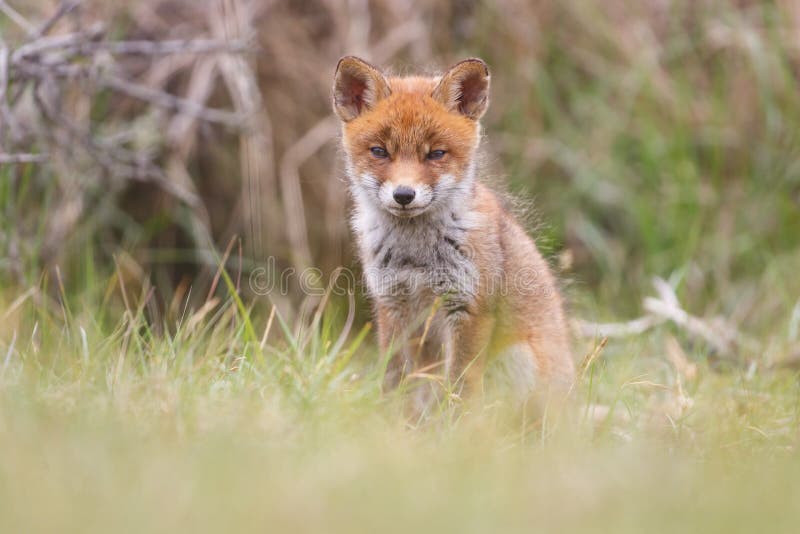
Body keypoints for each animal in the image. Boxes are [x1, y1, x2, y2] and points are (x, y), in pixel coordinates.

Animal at [332, 56, 574, 404]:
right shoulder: (392, 303)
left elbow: (461, 384)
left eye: (436, 153)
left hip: (516, 358)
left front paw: (459, 420)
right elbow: (396, 378)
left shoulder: (468, 307)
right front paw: (392, 417)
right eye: (379, 151)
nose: (403, 195)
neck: (416, 256)